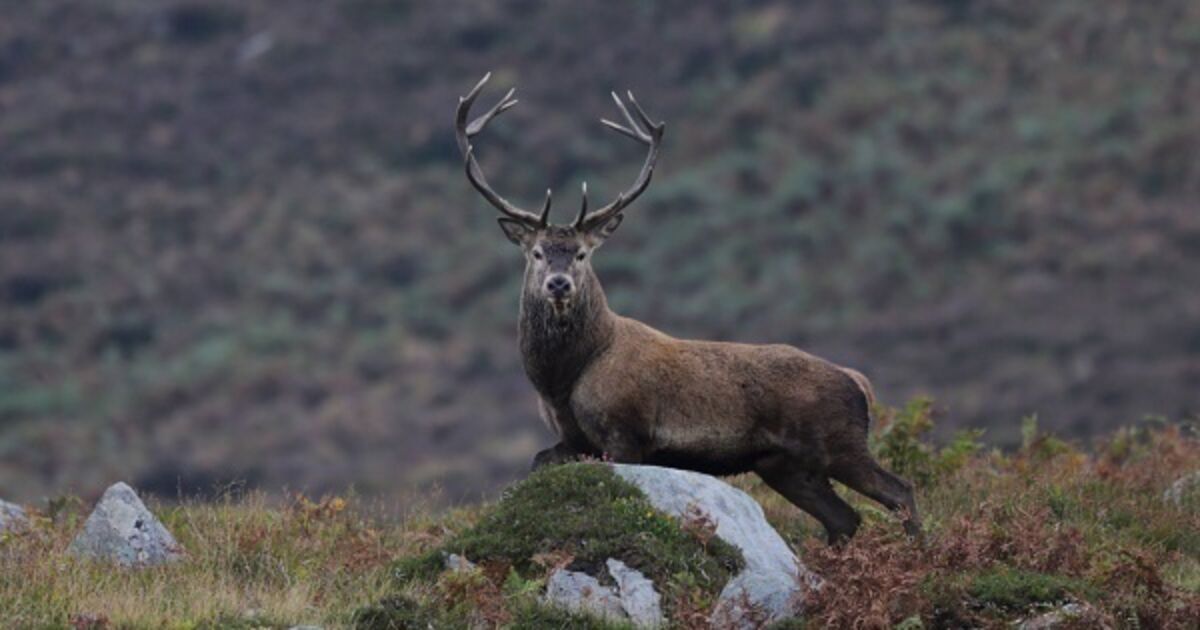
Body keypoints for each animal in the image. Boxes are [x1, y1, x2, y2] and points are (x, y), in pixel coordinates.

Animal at [454, 73, 920, 544]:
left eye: (582, 254)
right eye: (536, 253)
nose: (558, 283)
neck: (563, 378)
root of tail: (858, 382)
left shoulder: (626, 432)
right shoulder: (574, 440)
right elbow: (536, 464)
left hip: (839, 442)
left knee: (900, 490)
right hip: (785, 465)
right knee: (845, 518)